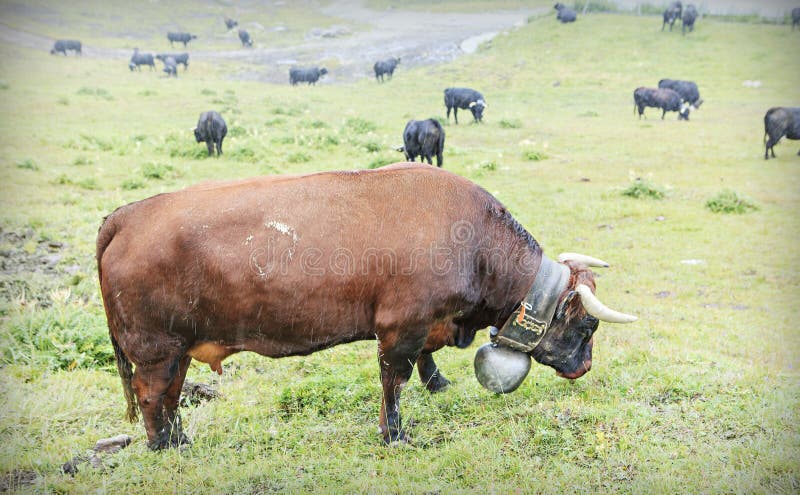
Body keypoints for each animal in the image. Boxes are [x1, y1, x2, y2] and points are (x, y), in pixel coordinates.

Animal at [96, 163, 637, 450]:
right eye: (586, 328)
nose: (584, 367)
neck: (475, 242)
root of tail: (128, 215)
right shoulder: (401, 325)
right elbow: (393, 381)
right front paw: (394, 434)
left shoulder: (428, 323)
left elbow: (425, 361)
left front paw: (438, 383)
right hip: (156, 348)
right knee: (152, 396)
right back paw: (165, 446)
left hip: (178, 348)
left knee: (169, 396)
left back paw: (177, 439)